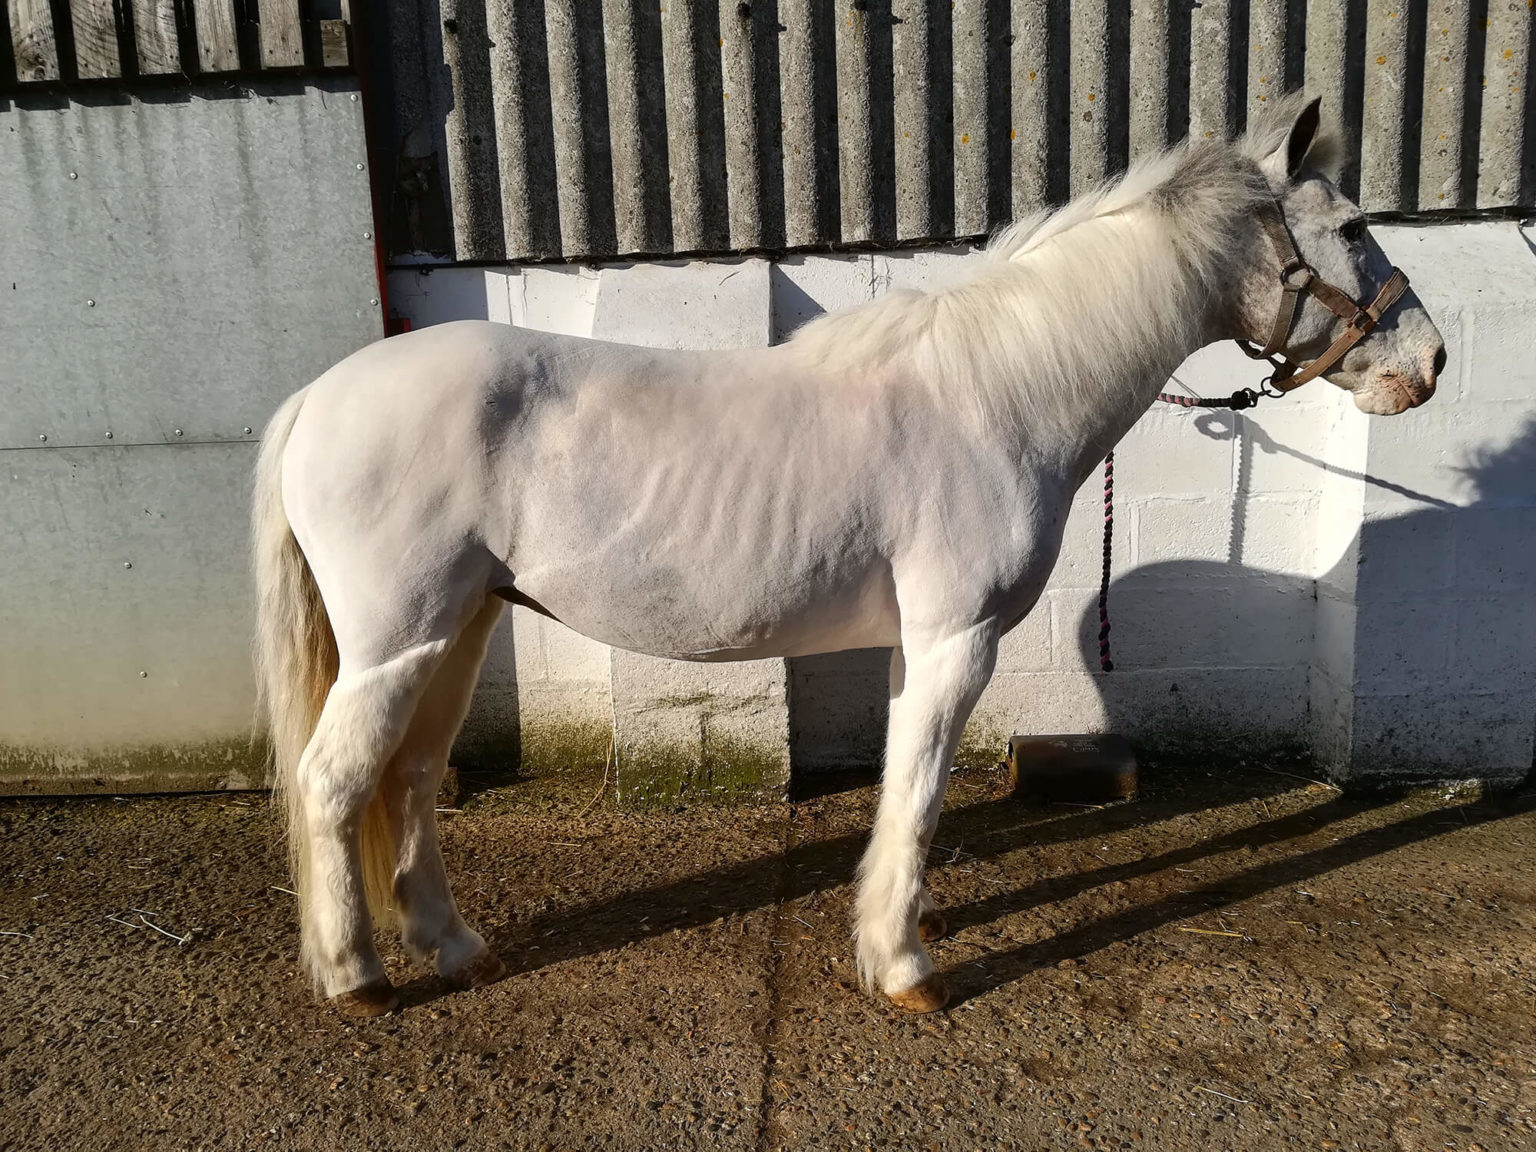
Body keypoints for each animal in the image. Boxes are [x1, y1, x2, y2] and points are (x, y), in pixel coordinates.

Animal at [252, 94, 1445, 1017]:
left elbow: (897, 791)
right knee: (332, 781)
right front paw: (907, 969)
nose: (1428, 364)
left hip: (457, 632)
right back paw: (357, 979)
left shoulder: (922, 642)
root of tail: (316, 397)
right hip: (401, 642)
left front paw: (887, 938)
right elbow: (917, 799)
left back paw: (454, 950)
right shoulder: (959, 638)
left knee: (407, 779)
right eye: (1353, 223)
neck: (996, 395)